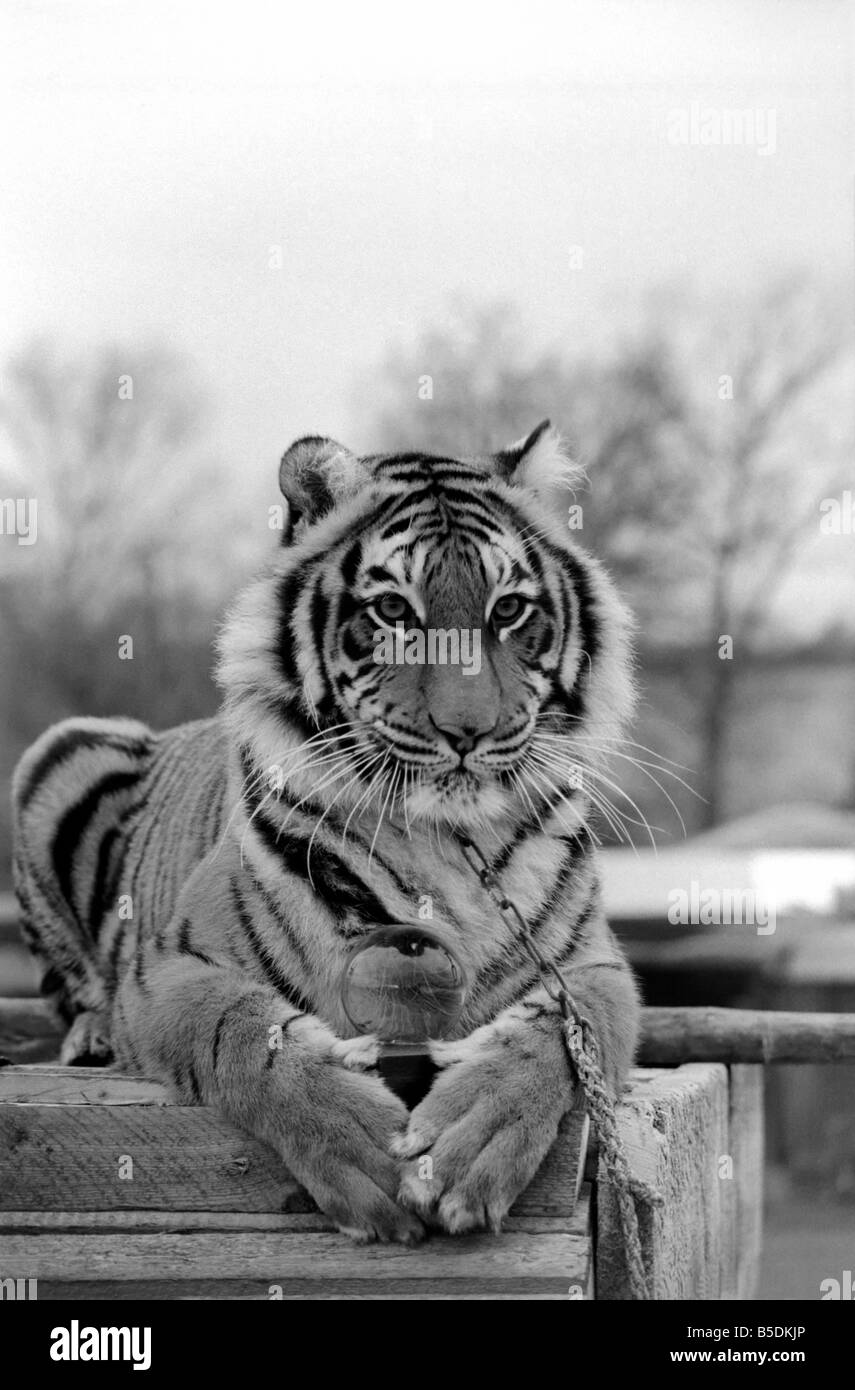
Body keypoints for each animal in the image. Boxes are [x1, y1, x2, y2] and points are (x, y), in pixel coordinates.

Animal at [12, 421, 640, 1244]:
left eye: (507, 610)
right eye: (394, 611)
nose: (468, 731)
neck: (440, 835)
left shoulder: (591, 967)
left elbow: (560, 1035)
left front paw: (471, 1139)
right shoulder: (170, 968)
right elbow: (248, 1032)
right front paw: (357, 1141)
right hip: (59, 752)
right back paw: (92, 1035)